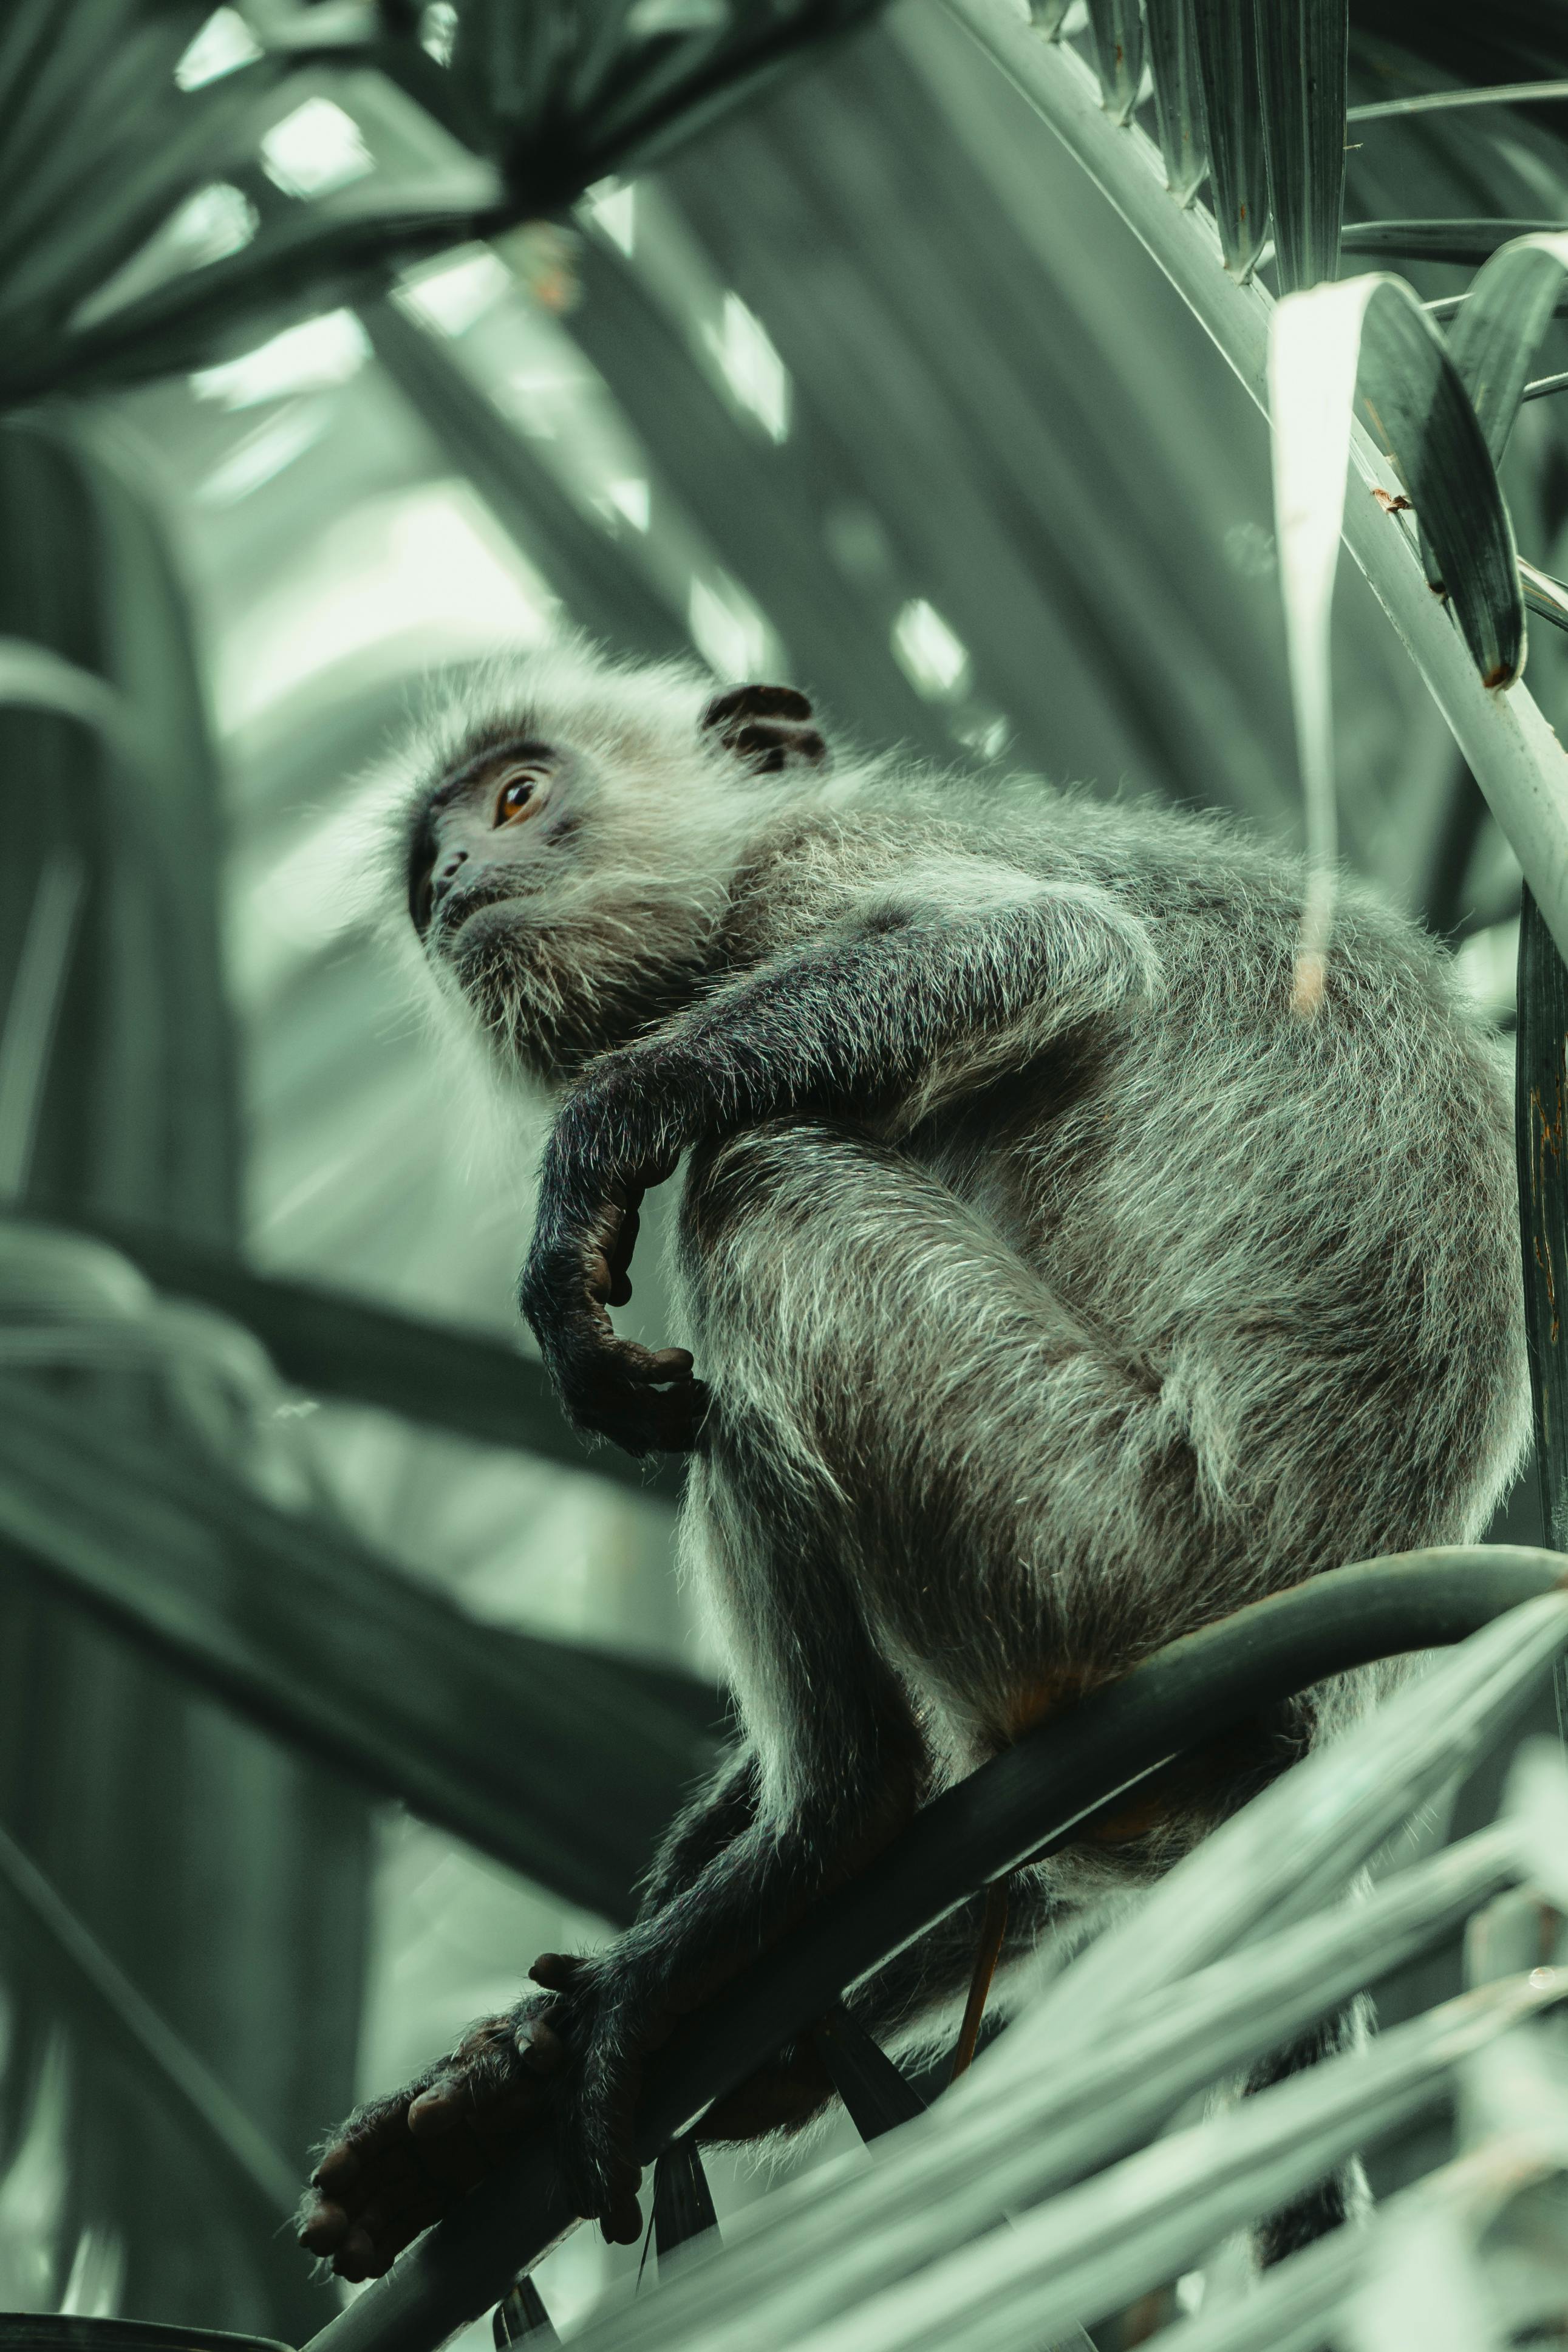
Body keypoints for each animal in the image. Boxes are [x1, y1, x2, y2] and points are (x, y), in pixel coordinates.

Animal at [297, 638, 1527, 2280]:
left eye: (514, 795)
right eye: (428, 854)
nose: (447, 879)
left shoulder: (813, 878)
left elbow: (1043, 945)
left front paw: (593, 1159)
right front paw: (496, 2076)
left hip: (1094, 1530)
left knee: (753, 1178)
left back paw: (827, 1829)